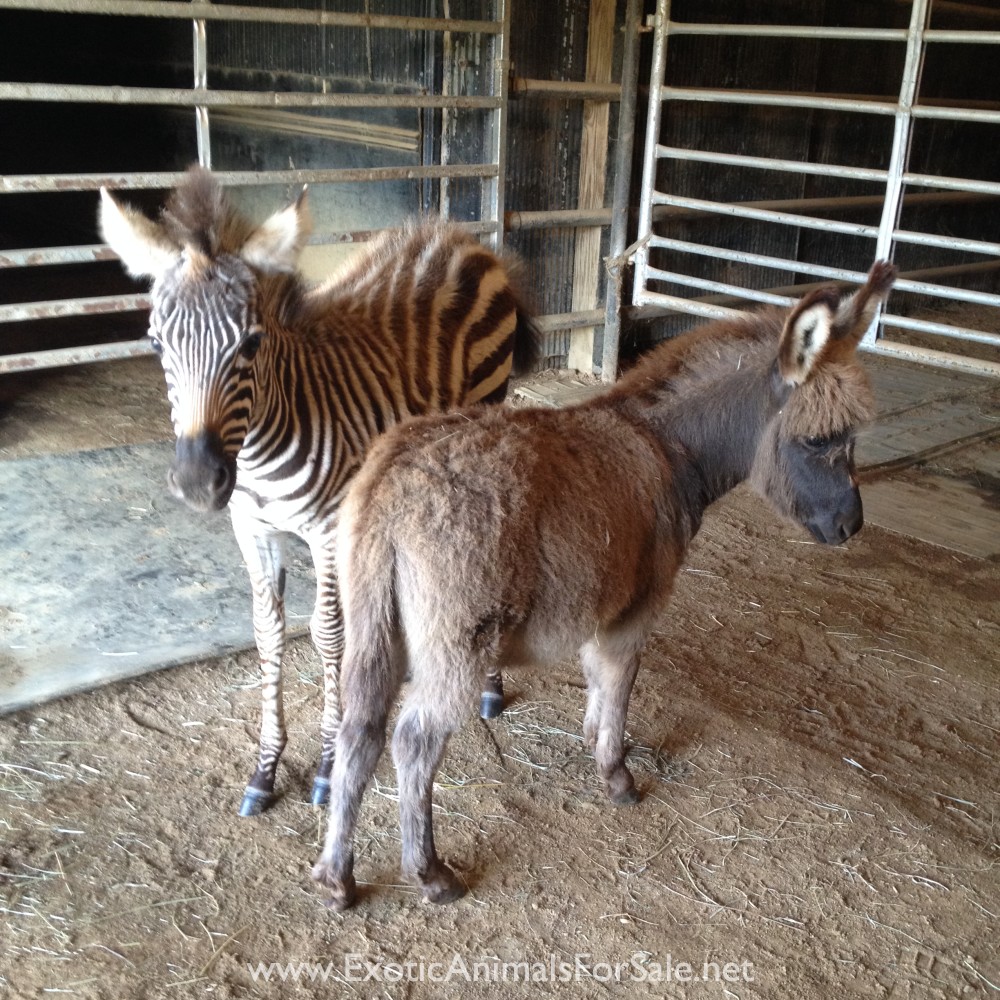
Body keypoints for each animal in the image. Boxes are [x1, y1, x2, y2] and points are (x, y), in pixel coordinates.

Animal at [99, 167, 534, 816]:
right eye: (155, 344)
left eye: (250, 344)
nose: (200, 481)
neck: (257, 451)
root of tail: (462, 239)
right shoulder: (251, 529)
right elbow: (267, 630)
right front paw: (265, 767)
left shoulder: (326, 532)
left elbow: (329, 635)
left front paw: (329, 765)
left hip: (488, 403)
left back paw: (488, 687)